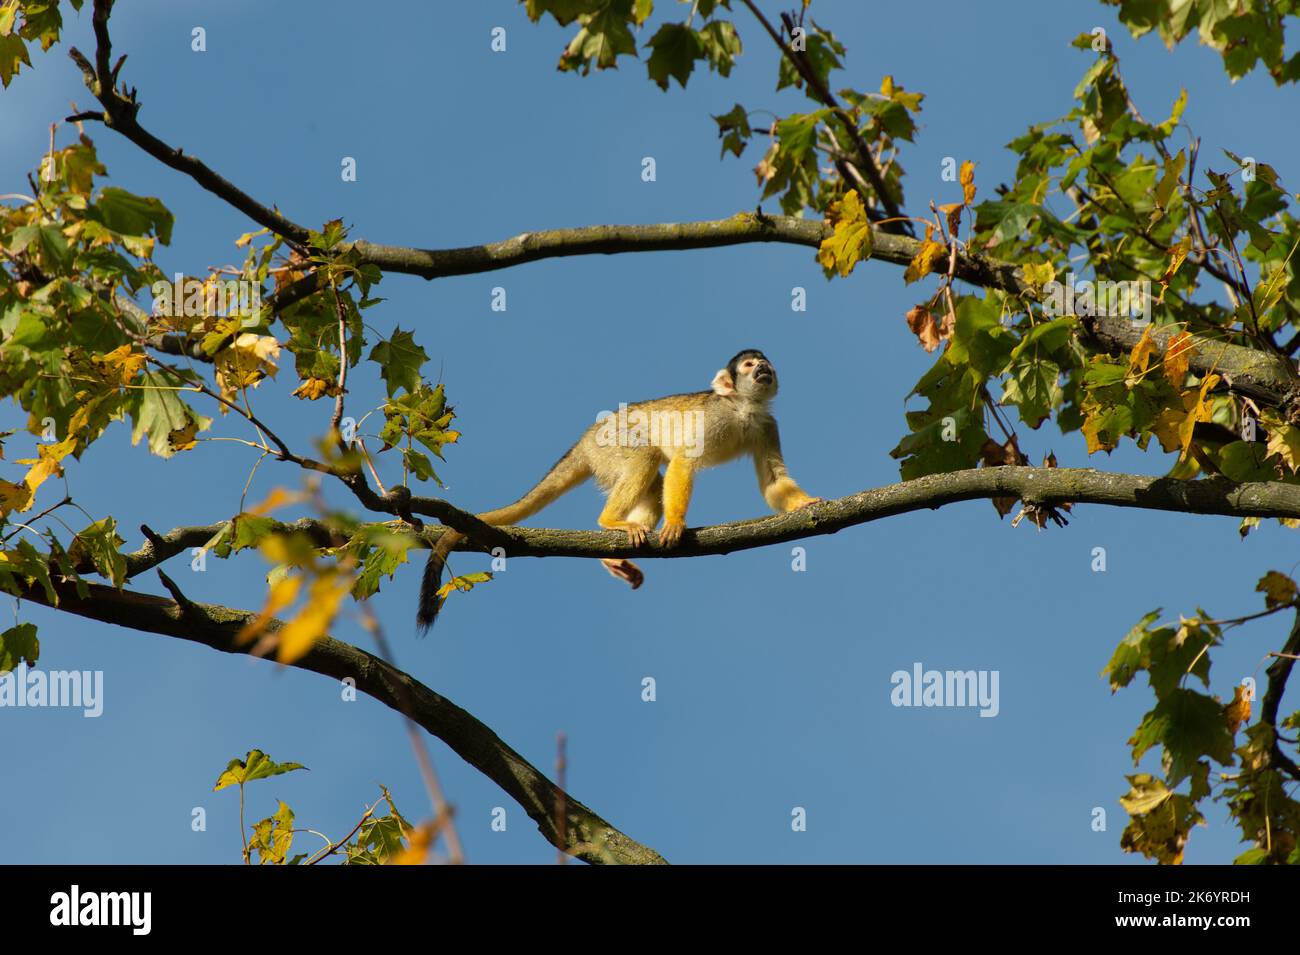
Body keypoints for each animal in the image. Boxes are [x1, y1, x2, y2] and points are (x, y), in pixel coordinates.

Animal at [416, 349, 819, 629]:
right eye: (749, 365)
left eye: (763, 362)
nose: (763, 367)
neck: (743, 408)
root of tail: (585, 439)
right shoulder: (716, 416)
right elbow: (684, 461)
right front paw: (676, 522)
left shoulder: (767, 423)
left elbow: (773, 481)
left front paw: (805, 505)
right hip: (610, 446)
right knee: (646, 457)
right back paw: (610, 520)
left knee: (654, 478)